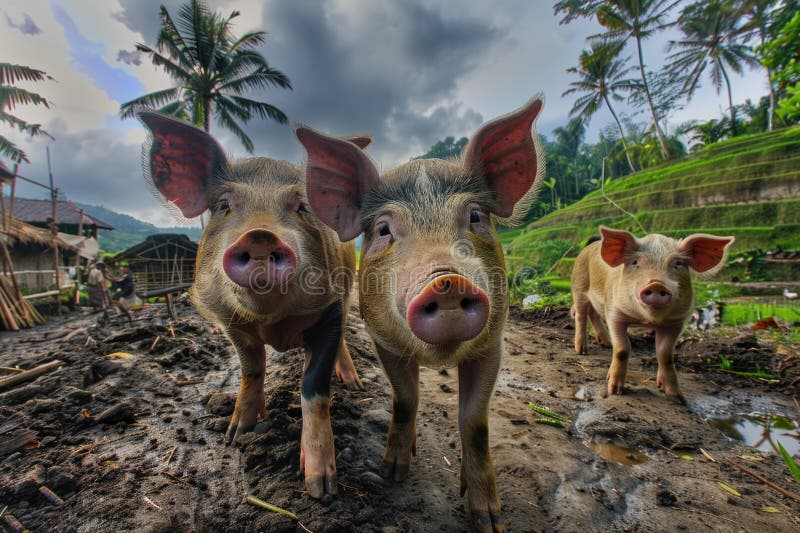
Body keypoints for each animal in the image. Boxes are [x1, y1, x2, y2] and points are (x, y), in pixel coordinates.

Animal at [138, 112, 371, 500]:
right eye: (224, 205)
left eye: (302, 207)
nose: (260, 236)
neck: (274, 322)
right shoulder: (231, 322)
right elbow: (252, 368)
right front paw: (236, 436)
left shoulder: (332, 308)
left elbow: (314, 384)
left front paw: (320, 487)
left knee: (340, 348)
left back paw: (354, 385)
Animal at [296, 96, 545, 532]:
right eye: (383, 230)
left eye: (475, 216)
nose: (446, 282)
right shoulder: (384, 341)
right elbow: (406, 398)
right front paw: (393, 473)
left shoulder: (492, 344)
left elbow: (474, 422)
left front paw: (489, 520)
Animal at [571, 227, 734, 402]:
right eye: (635, 262)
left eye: (678, 264)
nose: (656, 284)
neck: (646, 319)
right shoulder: (615, 312)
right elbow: (622, 349)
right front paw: (615, 391)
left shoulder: (676, 322)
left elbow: (665, 354)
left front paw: (676, 397)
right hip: (578, 287)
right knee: (581, 315)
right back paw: (581, 351)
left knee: (593, 314)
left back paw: (607, 343)